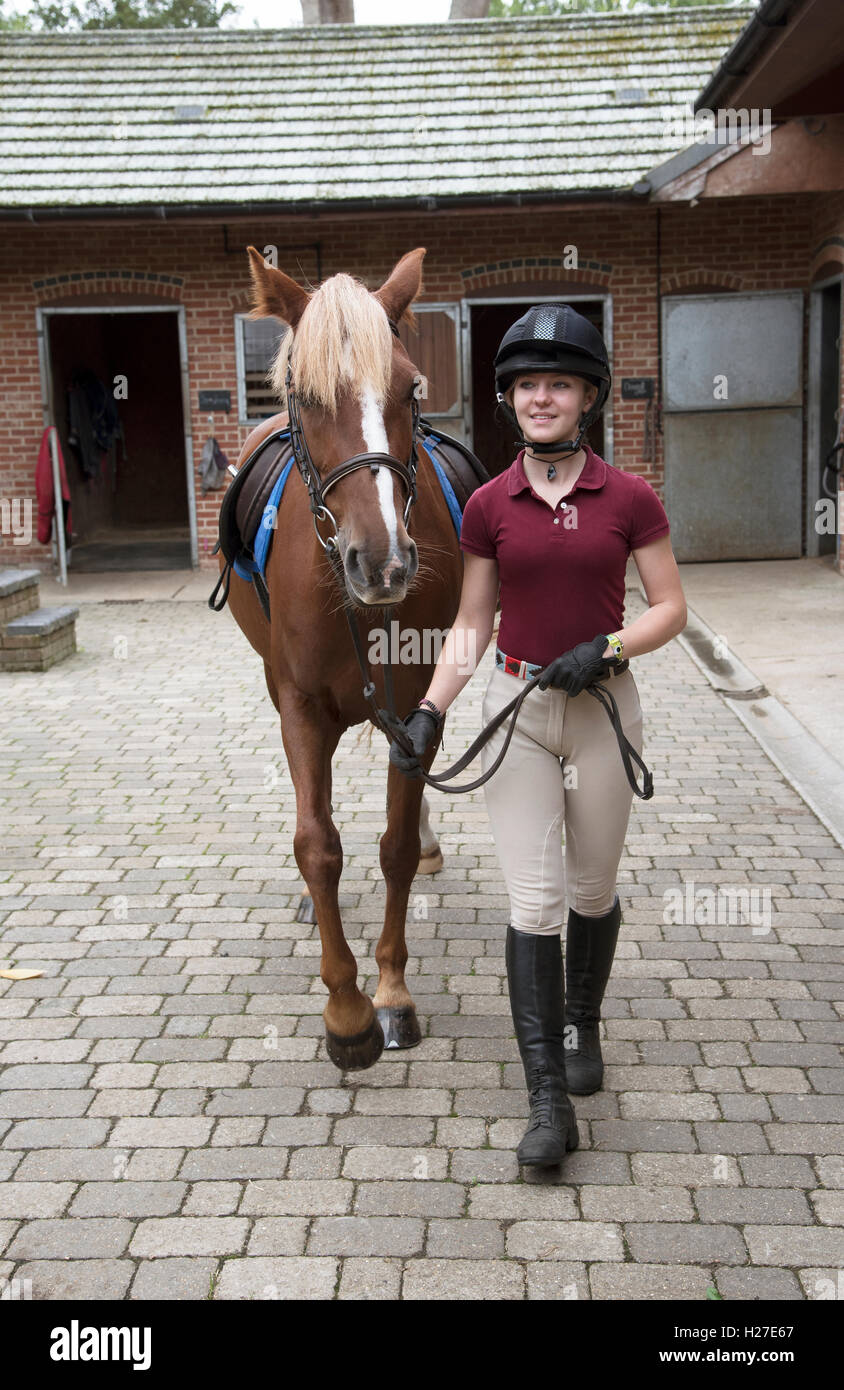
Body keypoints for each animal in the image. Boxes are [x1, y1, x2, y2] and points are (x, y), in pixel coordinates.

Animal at [220, 246, 464, 1071]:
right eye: (304, 395)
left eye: (412, 388)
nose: (382, 561)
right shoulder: (299, 703)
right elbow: (318, 845)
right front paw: (347, 1010)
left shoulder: (417, 705)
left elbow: (394, 846)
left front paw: (390, 994)